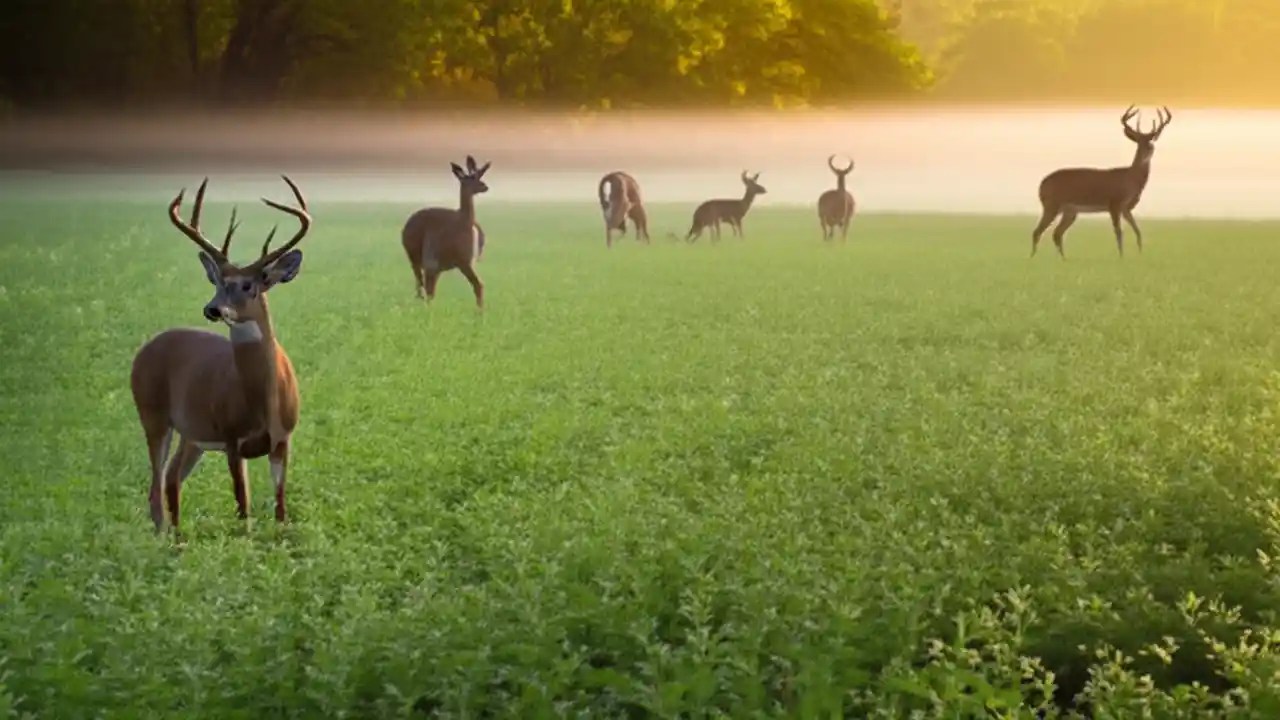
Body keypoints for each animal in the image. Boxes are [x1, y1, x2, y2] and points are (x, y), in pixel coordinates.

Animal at [130, 175, 311, 532]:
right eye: (217, 283)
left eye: (248, 285)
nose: (212, 309)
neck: (263, 402)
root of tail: (145, 349)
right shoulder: (230, 437)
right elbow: (243, 506)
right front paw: (245, 540)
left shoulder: (283, 439)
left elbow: (280, 506)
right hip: (153, 413)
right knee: (156, 486)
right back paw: (163, 537)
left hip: (191, 433)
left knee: (171, 479)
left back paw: (179, 536)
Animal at [1031, 105, 1172, 259]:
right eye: (1138, 142)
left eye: (1151, 140)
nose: (1149, 149)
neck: (1131, 179)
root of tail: (1041, 185)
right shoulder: (1114, 204)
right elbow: (1119, 232)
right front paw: (1121, 257)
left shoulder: (1126, 208)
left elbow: (1137, 231)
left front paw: (1140, 254)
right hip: (1052, 205)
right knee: (1037, 231)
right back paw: (1033, 258)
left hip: (1070, 211)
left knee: (1056, 233)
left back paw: (1063, 259)